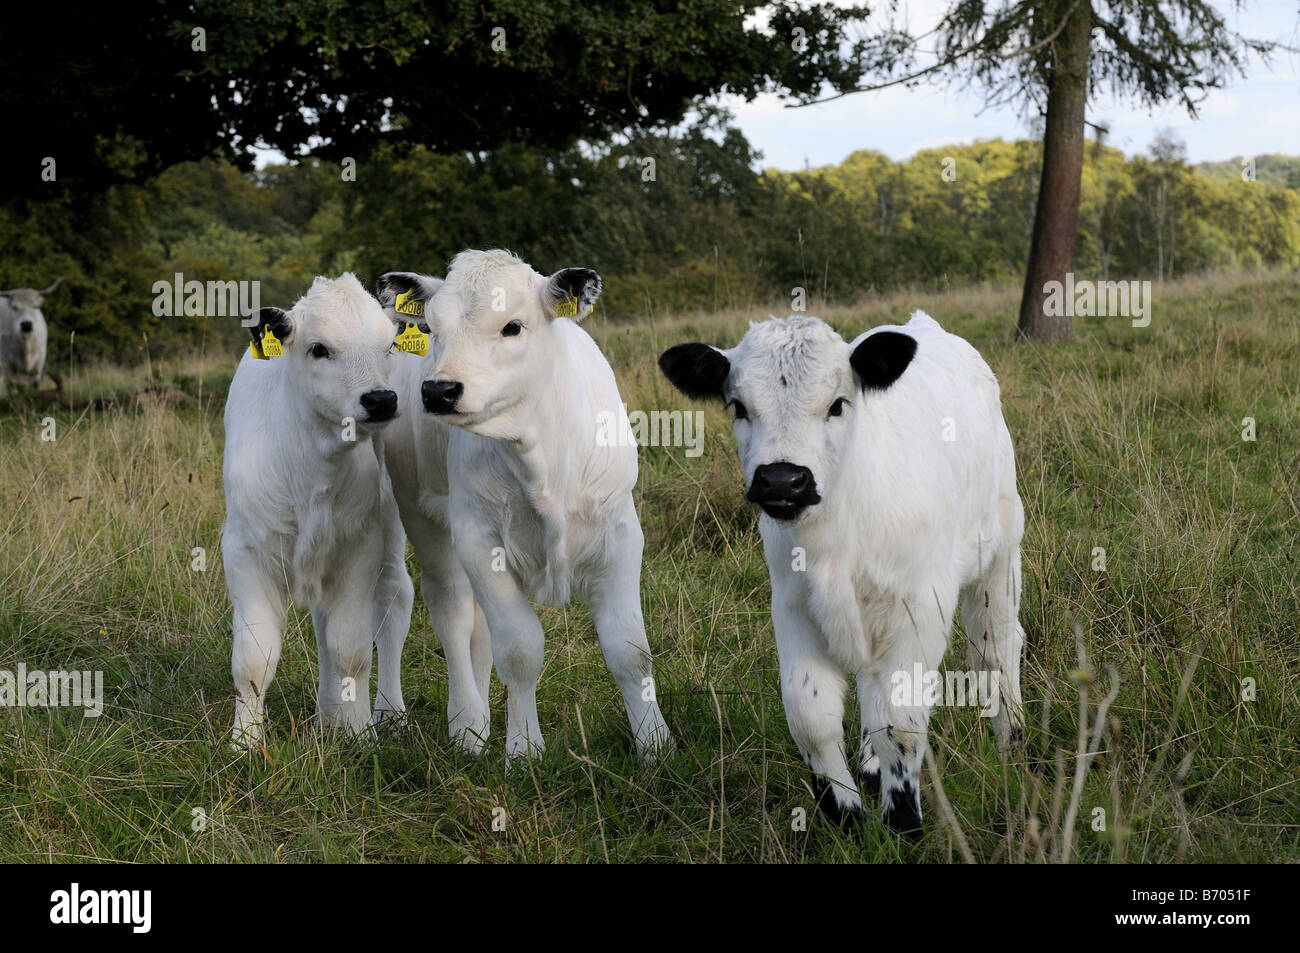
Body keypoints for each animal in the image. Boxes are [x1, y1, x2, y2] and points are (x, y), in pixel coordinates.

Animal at [222, 273, 415, 749]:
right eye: (319, 348)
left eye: (389, 346)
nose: (381, 399)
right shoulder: (244, 551)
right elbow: (254, 658)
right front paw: (245, 743)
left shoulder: (360, 547)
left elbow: (352, 650)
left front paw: (360, 733)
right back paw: (328, 715)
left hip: (390, 537)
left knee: (393, 604)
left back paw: (385, 713)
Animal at [375, 250, 672, 762]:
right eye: (433, 328)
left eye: (512, 326)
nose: (438, 391)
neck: (539, 452)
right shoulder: (479, 539)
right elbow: (519, 649)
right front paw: (524, 749)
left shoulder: (620, 534)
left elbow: (629, 649)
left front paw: (655, 745)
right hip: (424, 515)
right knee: (454, 614)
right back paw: (467, 724)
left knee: (477, 630)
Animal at [659, 311, 1026, 837]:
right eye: (738, 406)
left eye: (837, 404)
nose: (782, 480)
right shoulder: (793, 608)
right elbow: (812, 716)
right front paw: (845, 814)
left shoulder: (919, 607)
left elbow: (901, 718)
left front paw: (903, 821)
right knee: (872, 681)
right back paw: (871, 768)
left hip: (1001, 548)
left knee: (997, 646)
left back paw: (1011, 742)